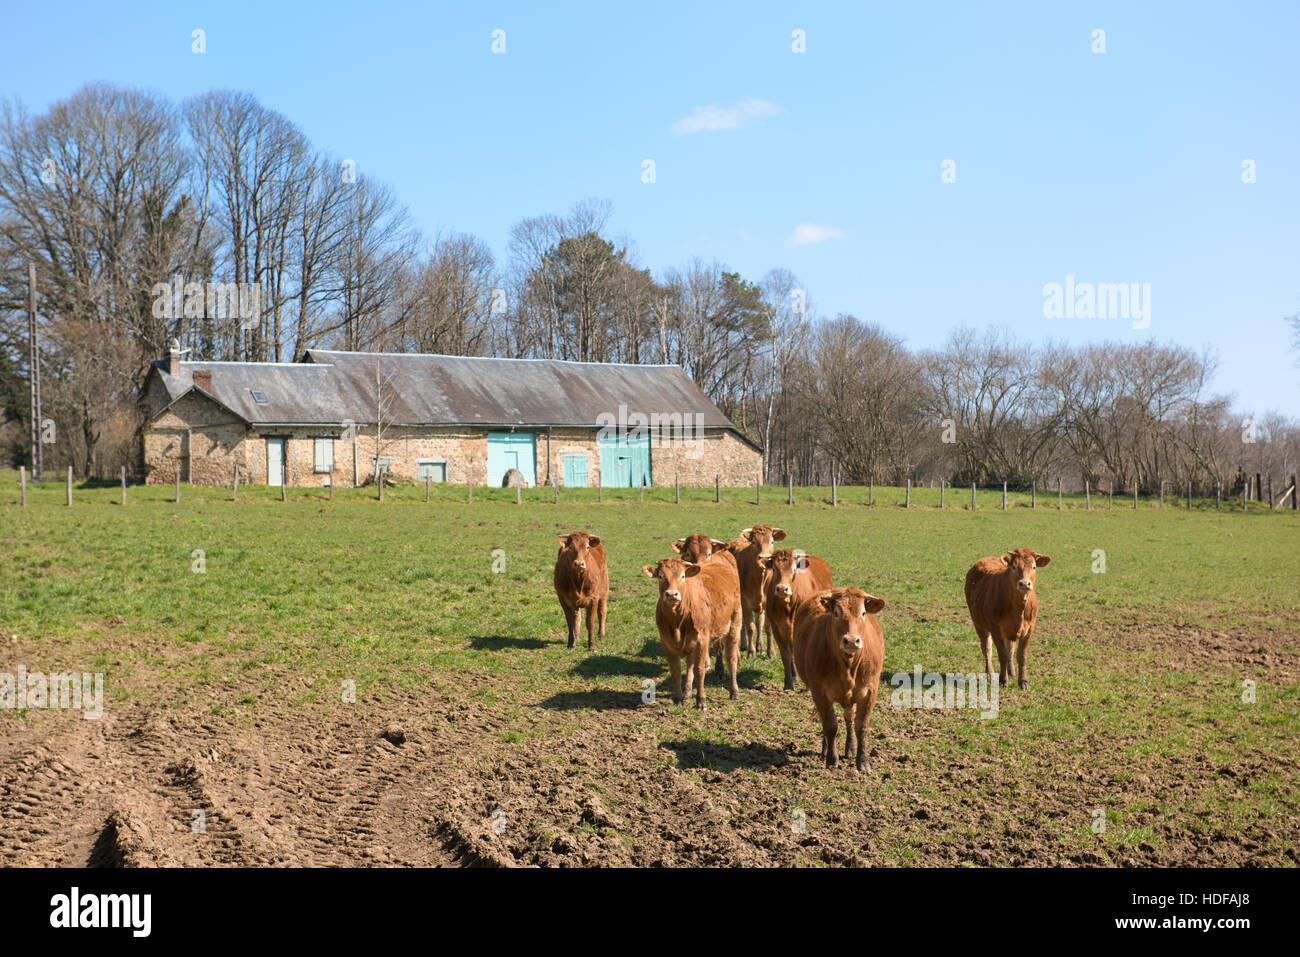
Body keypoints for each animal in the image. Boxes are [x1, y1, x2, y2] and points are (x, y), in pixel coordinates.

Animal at [641, 556, 742, 710]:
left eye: (682, 576)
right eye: (660, 576)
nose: (671, 594)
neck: (677, 620)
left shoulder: (702, 640)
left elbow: (699, 670)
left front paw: (701, 700)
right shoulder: (666, 643)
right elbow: (676, 671)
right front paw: (678, 699)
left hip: (734, 624)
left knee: (731, 659)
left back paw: (734, 691)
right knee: (690, 664)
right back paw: (687, 693)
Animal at [725, 525, 786, 657]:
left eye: (772, 541)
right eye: (753, 542)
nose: (763, 558)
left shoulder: (768, 603)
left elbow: (767, 627)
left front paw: (770, 652)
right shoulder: (744, 602)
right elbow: (750, 627)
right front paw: (751, 651)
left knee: (759, 622)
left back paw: (760, 647)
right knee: (743, 624)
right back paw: (744, 645)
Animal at [760, 548, 833, 691]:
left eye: (794, 570)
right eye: (774, 569)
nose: (782, 589)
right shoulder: (777, 627)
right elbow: (786, 655)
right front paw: (788, 683)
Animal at [792, 587, 887, 771]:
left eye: (863, 613)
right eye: (836, 613)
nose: (851, 640)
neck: (848, 666)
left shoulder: (870, 691)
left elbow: (861, 726)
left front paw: (862, 762)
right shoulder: (819, 692)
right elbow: (830, 725)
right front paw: (831, 759)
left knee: (849, 717)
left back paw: (850, 748)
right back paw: (825, 750)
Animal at [963, 548, 1051, 690]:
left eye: (1034, 567)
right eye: (1014, 567)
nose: (1024, 583)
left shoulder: (1030, 628)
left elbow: (1021, 655)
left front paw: (1023, 681)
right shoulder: (995, 629)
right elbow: (1002, 654)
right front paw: (1003, 680)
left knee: (1010, 648)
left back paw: (1011, 672)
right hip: (978, 623)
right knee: (987, 648)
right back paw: (990, 673)